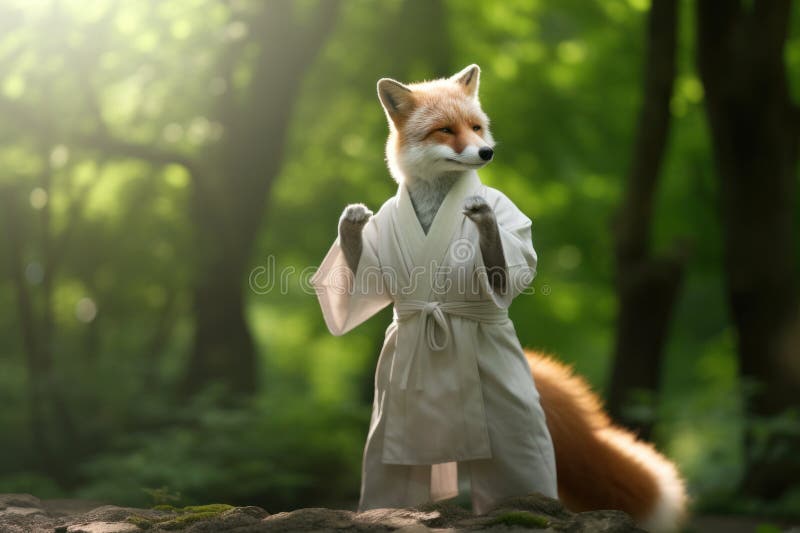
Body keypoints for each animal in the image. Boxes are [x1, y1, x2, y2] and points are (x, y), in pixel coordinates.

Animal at [337, 64, 687, 532]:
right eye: (445, 130)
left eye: (476, 127)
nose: (486, 153)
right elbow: (365, 274)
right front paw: (350, 226)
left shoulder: (509, 242)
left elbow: (504, 253)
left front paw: (484, 221)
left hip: (514, 432)